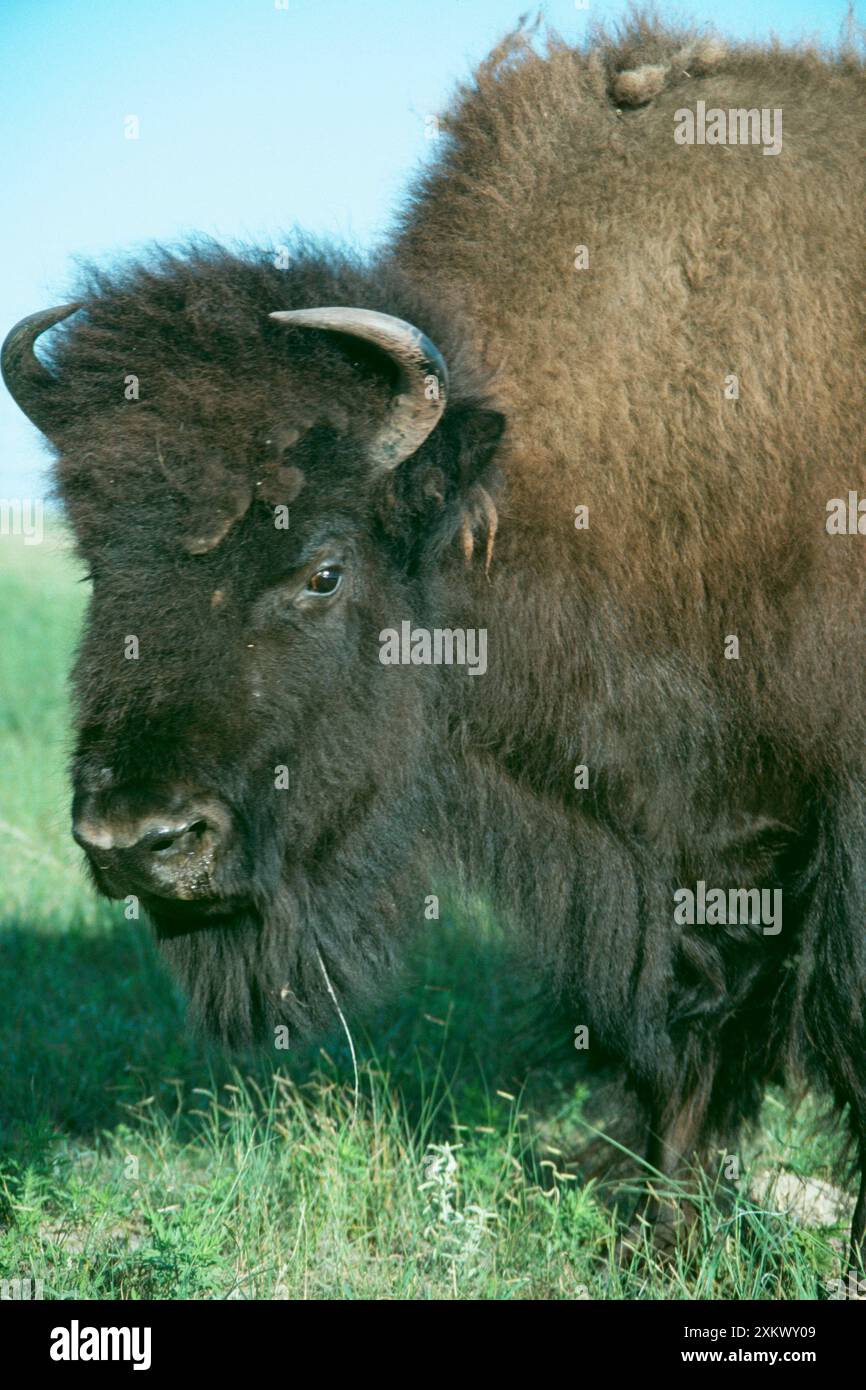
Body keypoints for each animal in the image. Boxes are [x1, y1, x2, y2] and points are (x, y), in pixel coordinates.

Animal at [4, 19, 865, 1262]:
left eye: (322, 568)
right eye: (94, 557)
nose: (139, 839)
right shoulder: (669, 850)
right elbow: (676, 1039)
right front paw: (647, 1224)